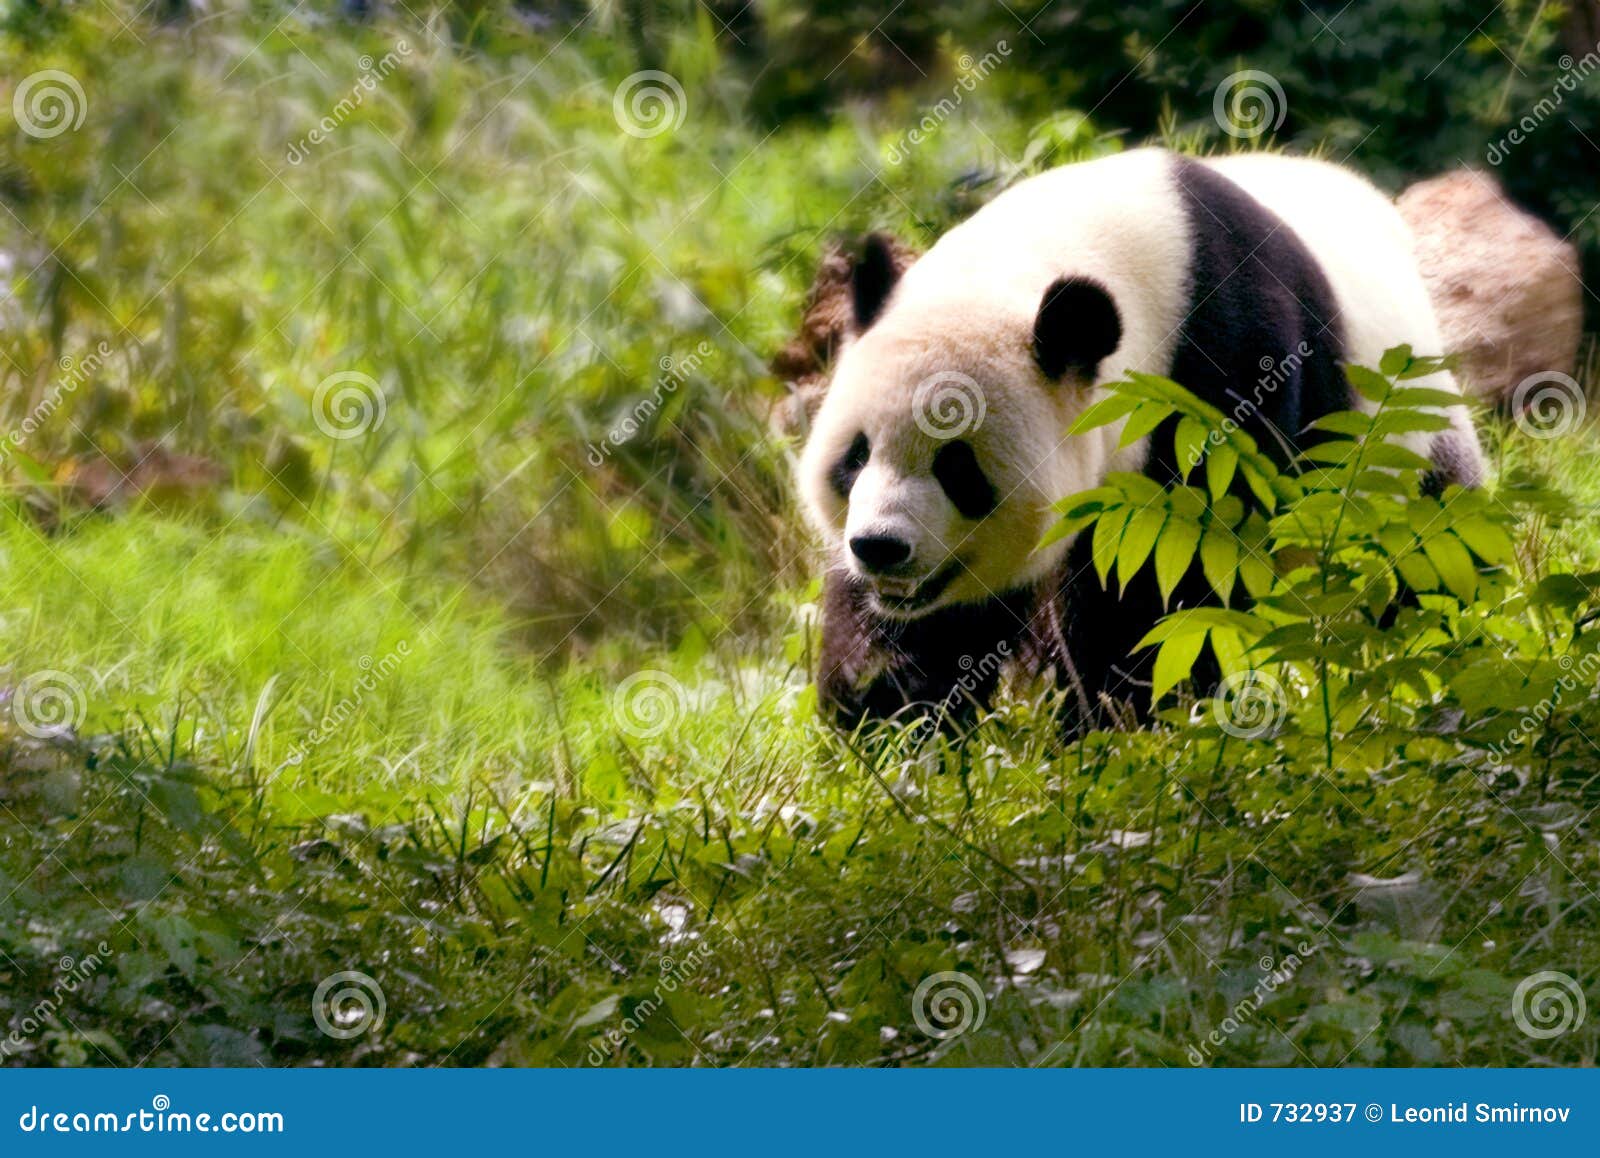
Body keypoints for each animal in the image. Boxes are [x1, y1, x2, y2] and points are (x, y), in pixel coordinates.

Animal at [796, 147, 1485, 733]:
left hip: (1406, 443)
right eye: (856, 456)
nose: (881, 547)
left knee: (1434, 559)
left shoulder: (1226, 366)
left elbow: (1176, 571)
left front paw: (1131, 714)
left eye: (958, 468)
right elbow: (928, 629)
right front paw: (889, 717)